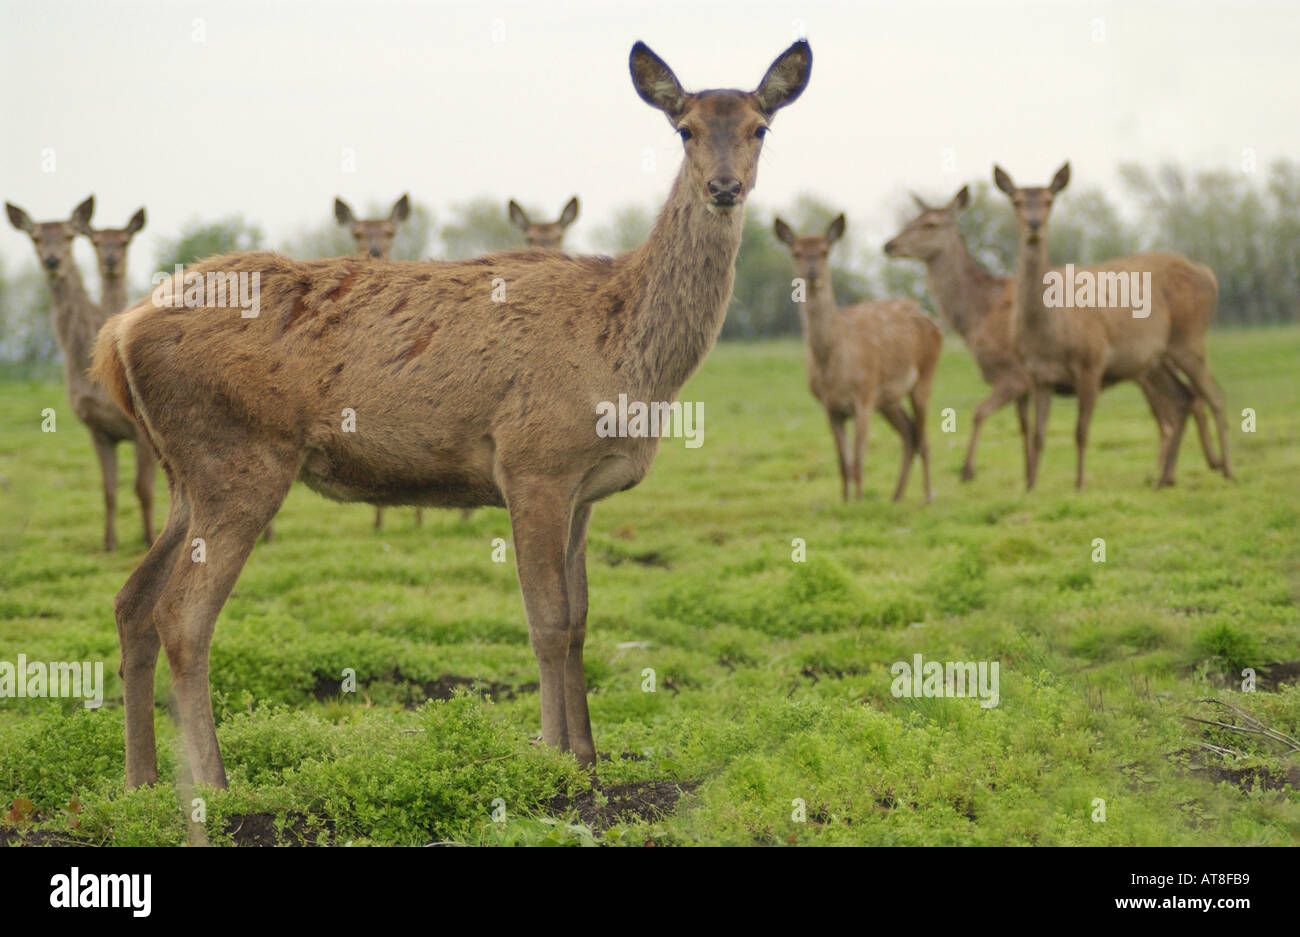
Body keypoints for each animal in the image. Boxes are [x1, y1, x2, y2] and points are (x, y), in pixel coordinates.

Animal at [774, 215, 940, 502]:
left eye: (824, 251)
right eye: (795, 252)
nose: (811, 273)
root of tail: (931, 318)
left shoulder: (863, 396)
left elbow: (859, 461)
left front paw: (860, 502)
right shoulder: (830, 407)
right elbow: (843, 463)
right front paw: (845, 501)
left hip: (924, 376)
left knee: (923, 438)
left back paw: (928, 497)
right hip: (887, 399)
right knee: (909, 433)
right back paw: (896, 497)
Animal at [884, 186, 1222, 487]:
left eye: (929, 224)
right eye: (912, 218)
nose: (890, 244)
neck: (976, 316)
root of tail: (1209, 274)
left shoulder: (1013, 374)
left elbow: (980, 414)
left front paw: (969, 472)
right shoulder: (1028, 381)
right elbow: (1025, 427)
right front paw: (1027, 474)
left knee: (1178, 406)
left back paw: (1193, 467)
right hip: (1152, 362)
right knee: (1184, 401)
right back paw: (1183, 469)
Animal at [992, 163, 1231, 489]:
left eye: (1049, 200)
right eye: (1015, 201)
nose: (1033, 223)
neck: (1048, 331)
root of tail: (1208, 274)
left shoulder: (1092, 362)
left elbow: (1081, 431)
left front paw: (1080, 484)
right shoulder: (1039, 376)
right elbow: (1038, 437)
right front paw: (1031, 487)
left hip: (1189, 338)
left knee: (1214, 395)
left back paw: (1227, 470)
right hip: (1155, 359)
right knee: (1184, 398)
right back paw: (1164, 479)